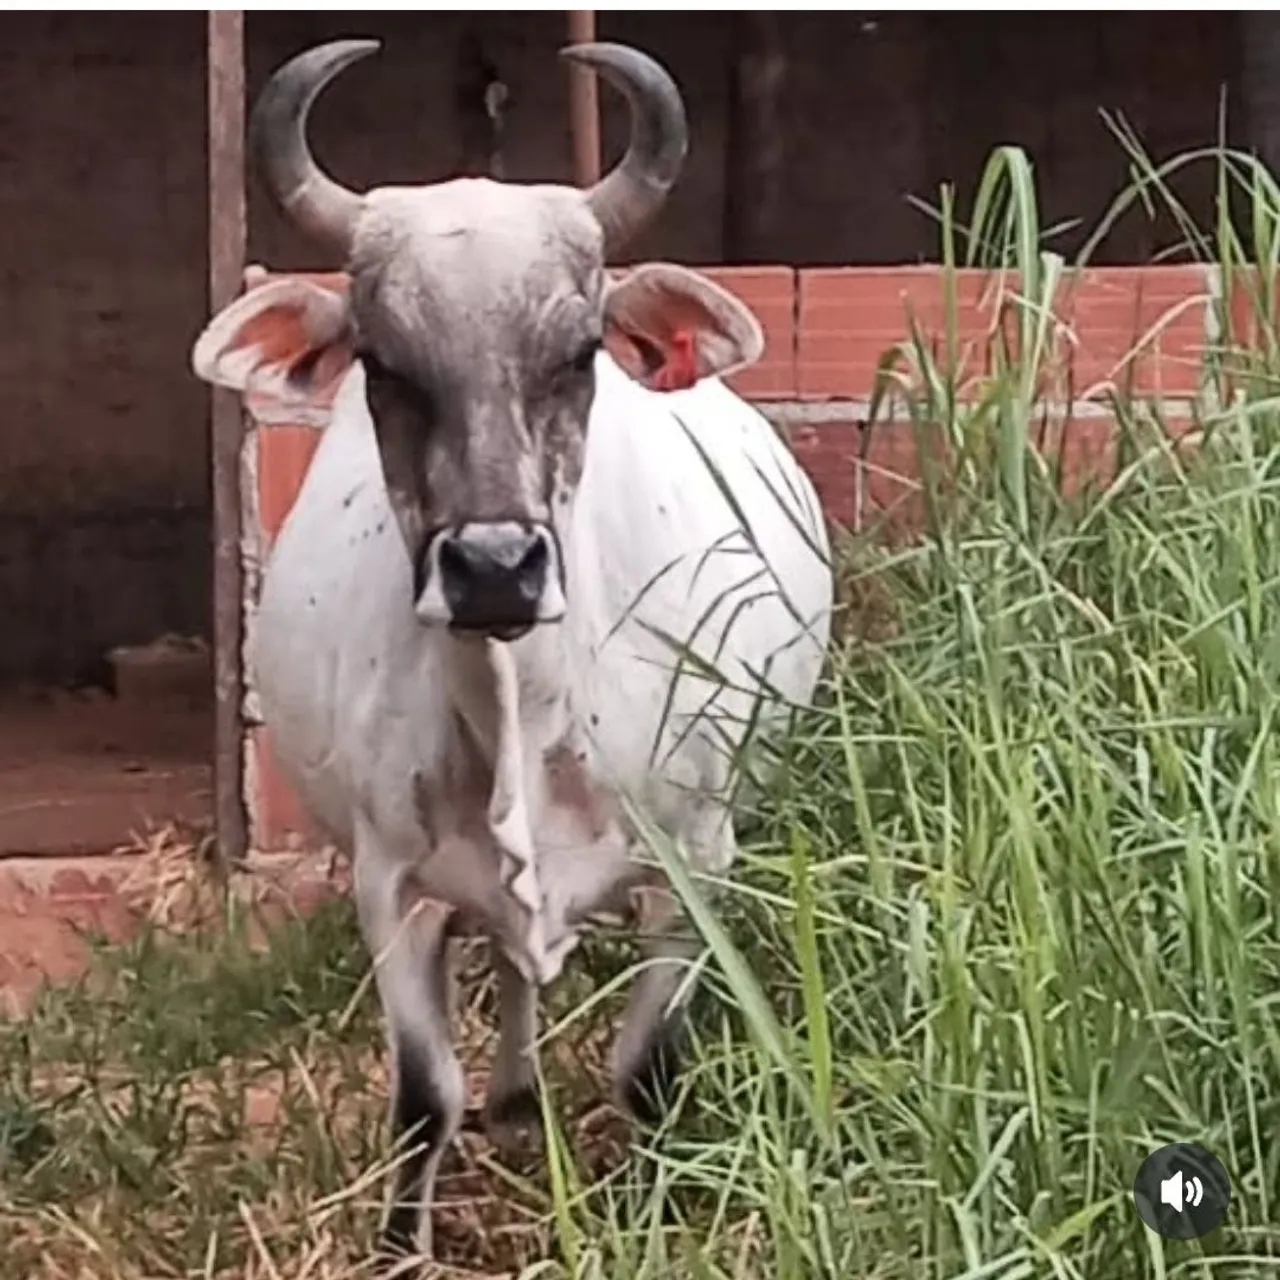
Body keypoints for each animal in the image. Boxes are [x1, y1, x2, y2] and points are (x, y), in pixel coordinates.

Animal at [190, 37, 834, 1263]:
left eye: (577, 353)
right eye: (385, 364)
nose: (493, 566)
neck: (524, 711)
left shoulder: (697, 865)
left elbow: (646, 1069)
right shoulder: (389, 887)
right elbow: (420, 1095)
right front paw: (402, 1244)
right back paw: (515, 1097)